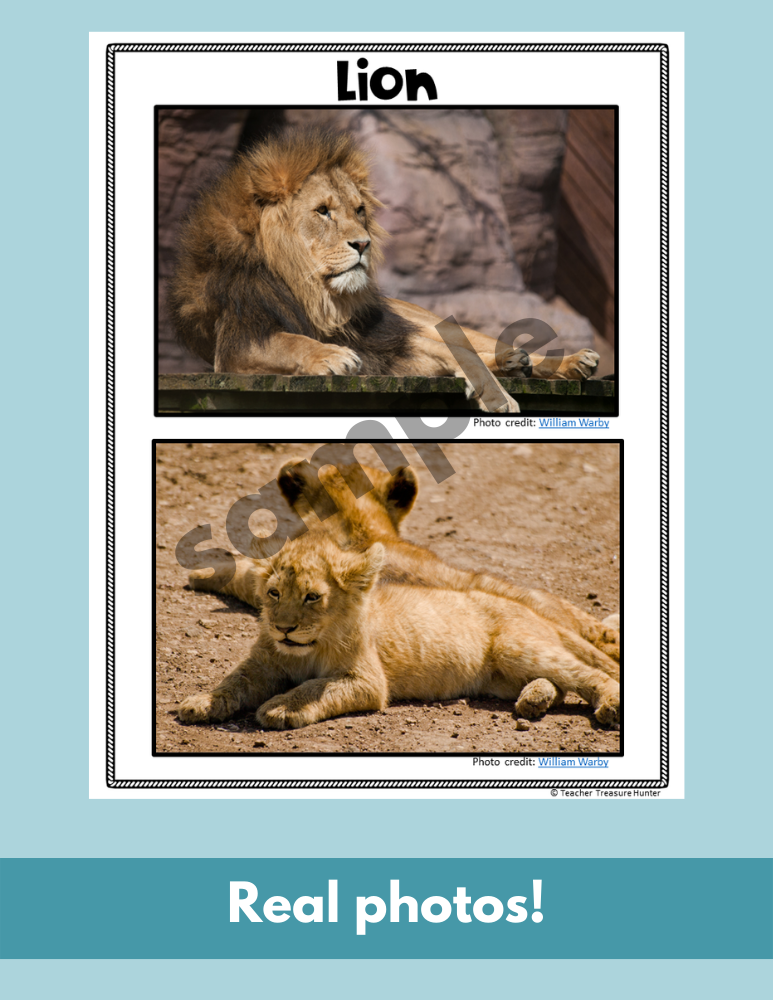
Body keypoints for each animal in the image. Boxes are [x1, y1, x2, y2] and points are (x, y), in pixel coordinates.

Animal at [169, 127, 600, 413]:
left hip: (416, 315)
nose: (363, 244)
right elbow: (290, 341)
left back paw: (568, 361)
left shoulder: (389, 336)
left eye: (359, 210)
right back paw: (515, 361)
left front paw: (497, 395)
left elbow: (459, 350)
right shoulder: (237, 344)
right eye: (323, 211)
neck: (319, 299)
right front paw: (333, 356)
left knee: (472, 339)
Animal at [184, 459, 621, 724]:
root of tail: (533, 613)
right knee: (568, 673)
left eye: (313, 598)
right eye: (275, 595)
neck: (358, 525)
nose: (284, 629)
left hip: (520, 645)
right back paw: (536, 698)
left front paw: (278, 707)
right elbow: (235, 679)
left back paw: (607, 703)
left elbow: (316, 686)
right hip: (510, 663)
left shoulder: (366, 679)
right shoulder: (262, 662)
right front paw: (203, 701)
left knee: (590, 671)